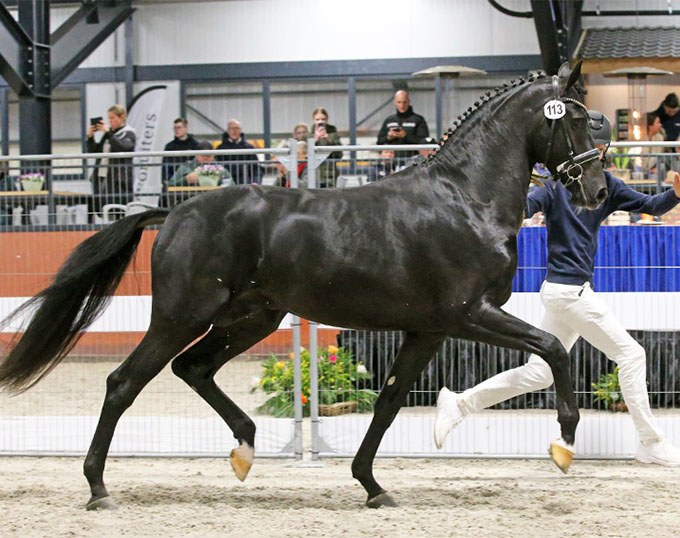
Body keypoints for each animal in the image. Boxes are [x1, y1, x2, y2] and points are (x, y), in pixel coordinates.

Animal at [0, 62, 607, 510]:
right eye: (577, 120)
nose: (598, 191)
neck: (464, 200)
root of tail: (174, 213)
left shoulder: (427, 330)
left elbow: (388, 402)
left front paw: (372, 486)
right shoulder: (469, 314)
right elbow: (553, 348)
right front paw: (563, 444)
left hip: (252, 317)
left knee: (192, 368)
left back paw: (244, 450)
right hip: (181, 316)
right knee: (125, 382)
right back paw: (98, 487)